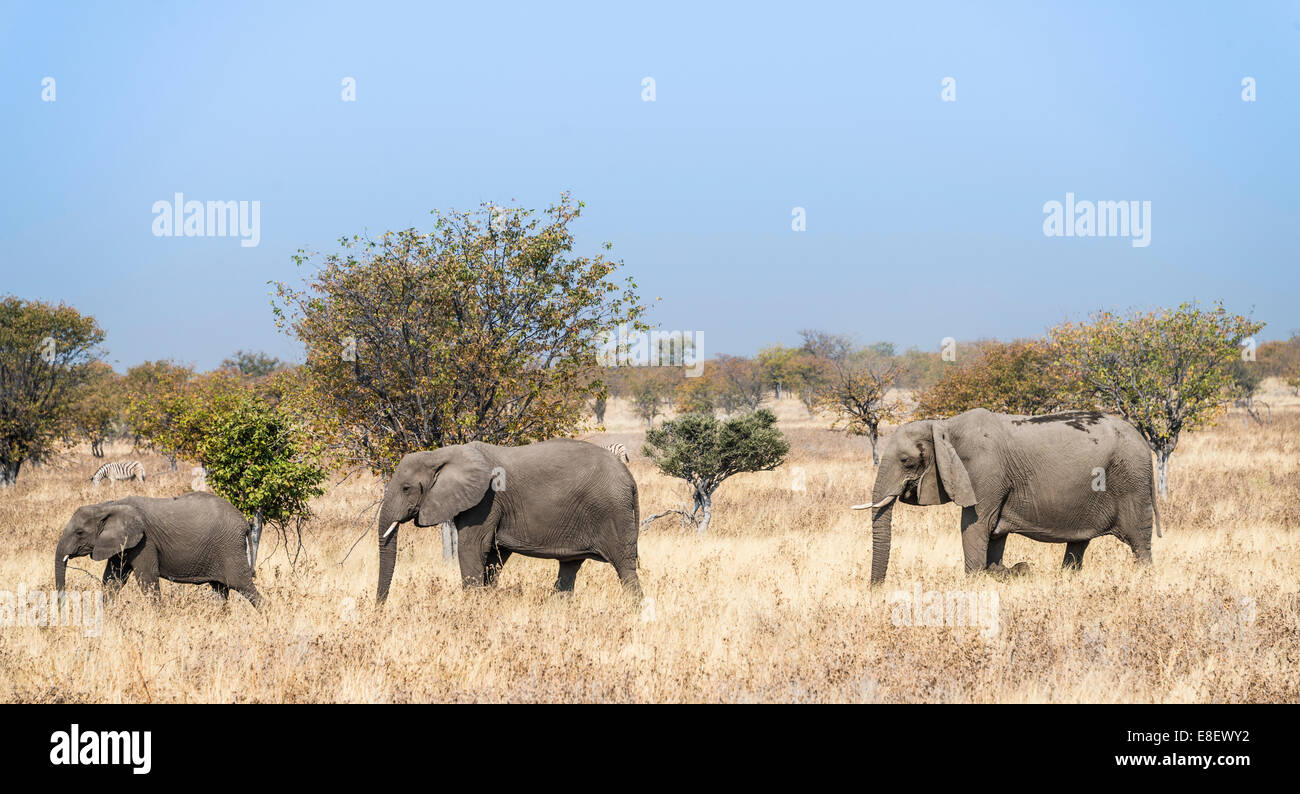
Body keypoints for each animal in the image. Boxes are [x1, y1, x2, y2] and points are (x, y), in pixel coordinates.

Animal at [55, 492, 262, 607]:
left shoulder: (145, 542)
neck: (108, 506)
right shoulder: (119, 544)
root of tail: (244, 522)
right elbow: (112, 580)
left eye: (80, 532)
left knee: (244, 586)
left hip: (230, 547)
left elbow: (147, 579)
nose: (62, 607)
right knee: (221, 590)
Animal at [376, 439, 641, 602]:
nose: (380, 608)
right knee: (569, 567)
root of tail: (629, 476)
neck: (444, 452)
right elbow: (494, 556)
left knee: (625, 568)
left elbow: (472, 548)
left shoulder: (486, 500)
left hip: (613, 512)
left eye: (406, 488)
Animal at [852, 408, 1162, 583]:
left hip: (1131, 480)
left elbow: (975, 525)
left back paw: (1144, 580)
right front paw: (1007, 571)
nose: (876, 591)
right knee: (1079, 544)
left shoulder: (985, 472)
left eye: (906, 461)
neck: (945, 426)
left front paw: (977, 581)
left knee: (1139, 542)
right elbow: (994, 532)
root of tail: (1143, 440)